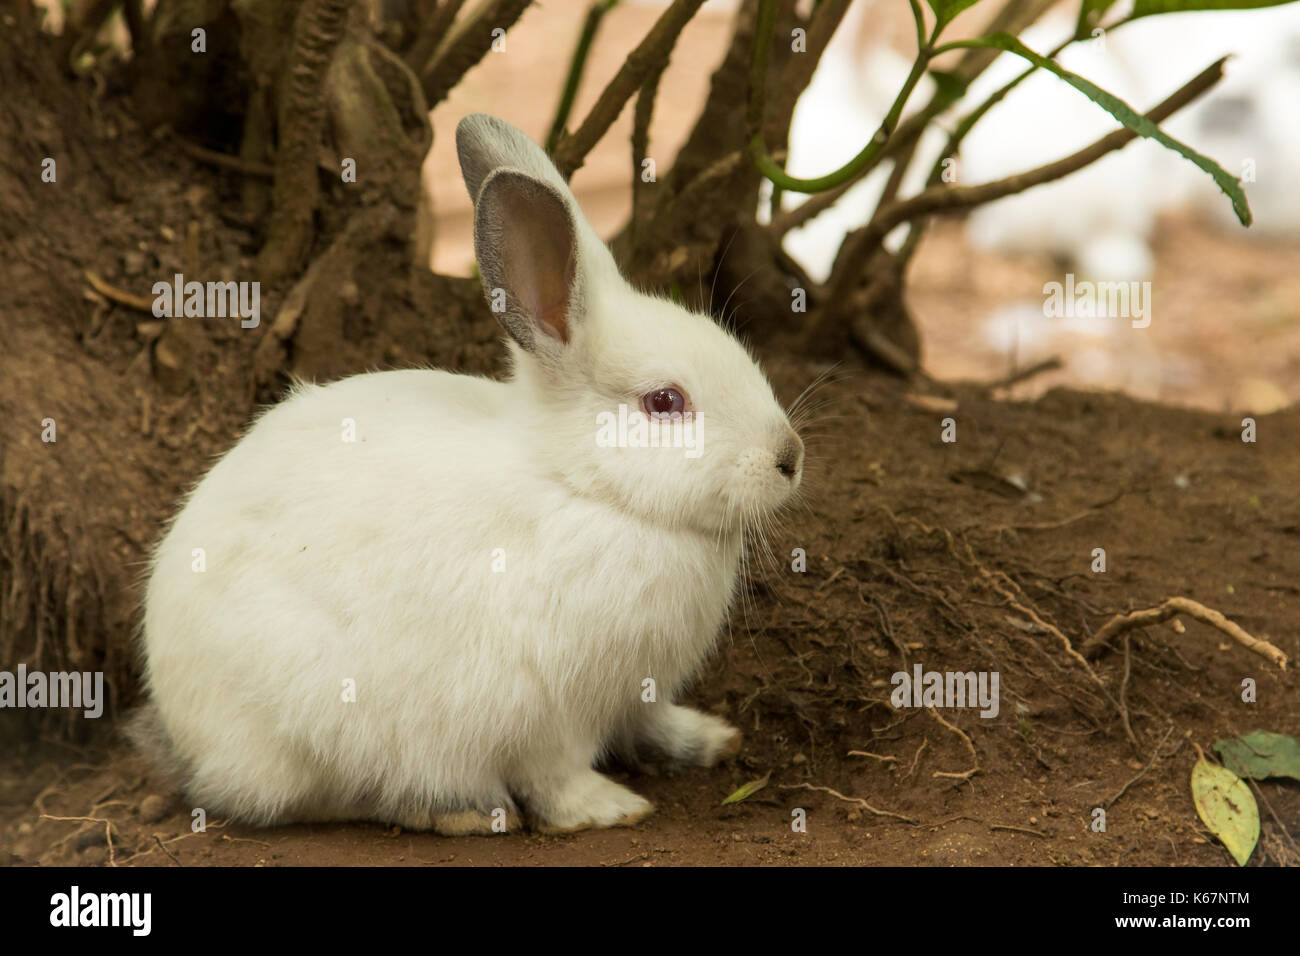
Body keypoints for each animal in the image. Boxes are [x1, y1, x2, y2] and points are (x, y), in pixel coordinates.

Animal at [131, 113, 805, 836]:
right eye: (664, 402)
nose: (789, 457)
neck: (583, 487)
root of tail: (185, 730)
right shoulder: (544, 706)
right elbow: (556, 775)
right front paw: (608, 809)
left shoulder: (636, 692)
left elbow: (648, 722)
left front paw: (706, 740)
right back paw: (462, 812)